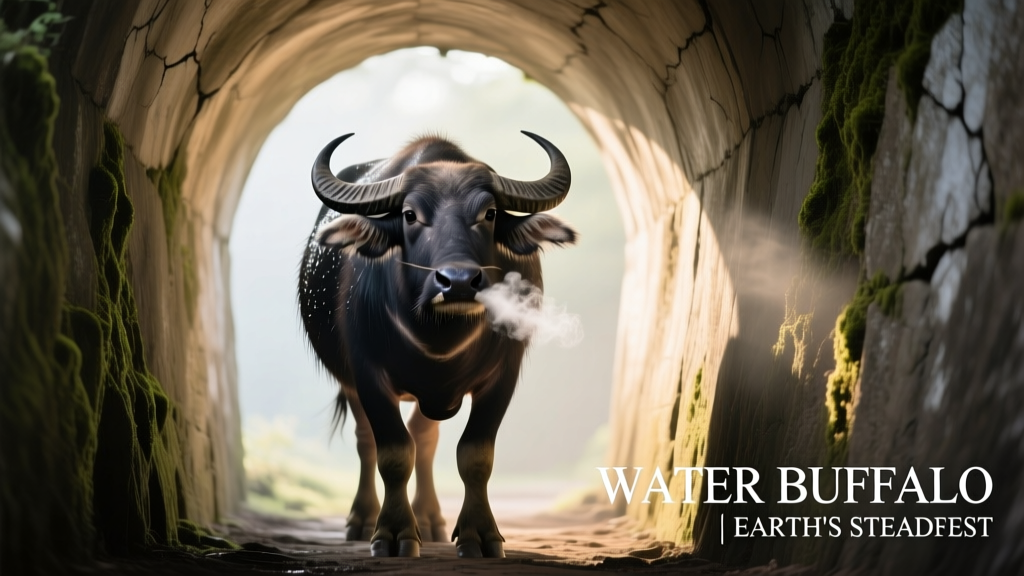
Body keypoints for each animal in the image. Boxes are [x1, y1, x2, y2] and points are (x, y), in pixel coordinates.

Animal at [299, 132, 577, 558]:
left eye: (489, 214)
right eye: (410, 215)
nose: (458, 281)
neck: (440, 338)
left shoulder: (503, 377)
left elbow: (475, 455)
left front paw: (480, 535)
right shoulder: (368, 374)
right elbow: (394, 453)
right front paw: (393, 534)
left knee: (426, 440)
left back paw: (429, 520)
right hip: (350, 382)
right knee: (367, 441)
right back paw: (362, 520)